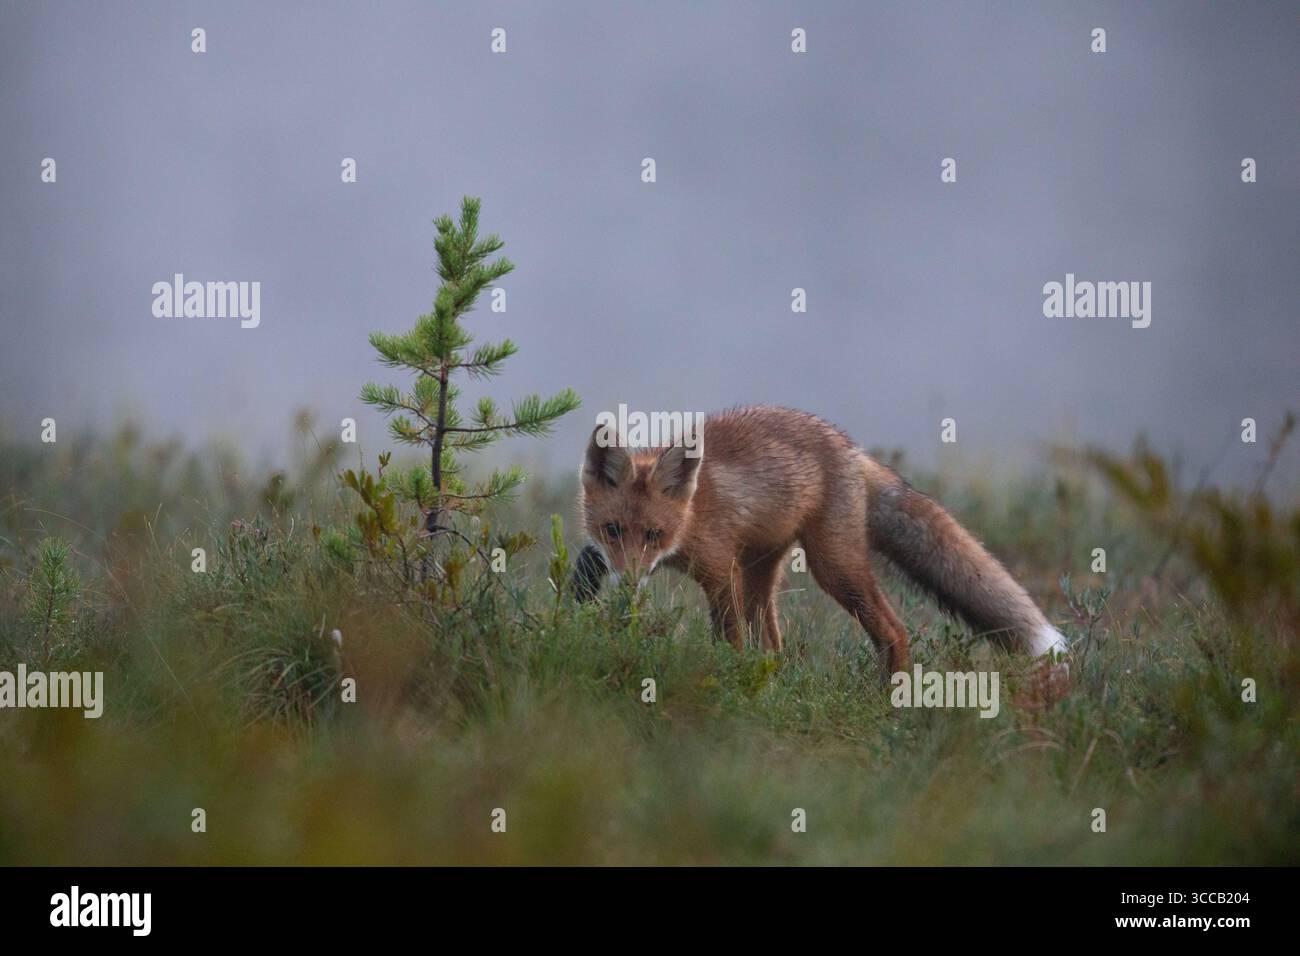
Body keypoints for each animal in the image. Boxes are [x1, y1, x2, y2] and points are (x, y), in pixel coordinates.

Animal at [574, 405, 1068, 674]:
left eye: (654, 534)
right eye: (613, 530)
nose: (629, 581)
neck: (692, 516)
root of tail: (853, 450)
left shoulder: (720, 570)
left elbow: (729, 640)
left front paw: (727, 675)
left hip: (832, 566)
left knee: (894, 630)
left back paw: (891, 698)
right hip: (761, 572)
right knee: (774, 644)